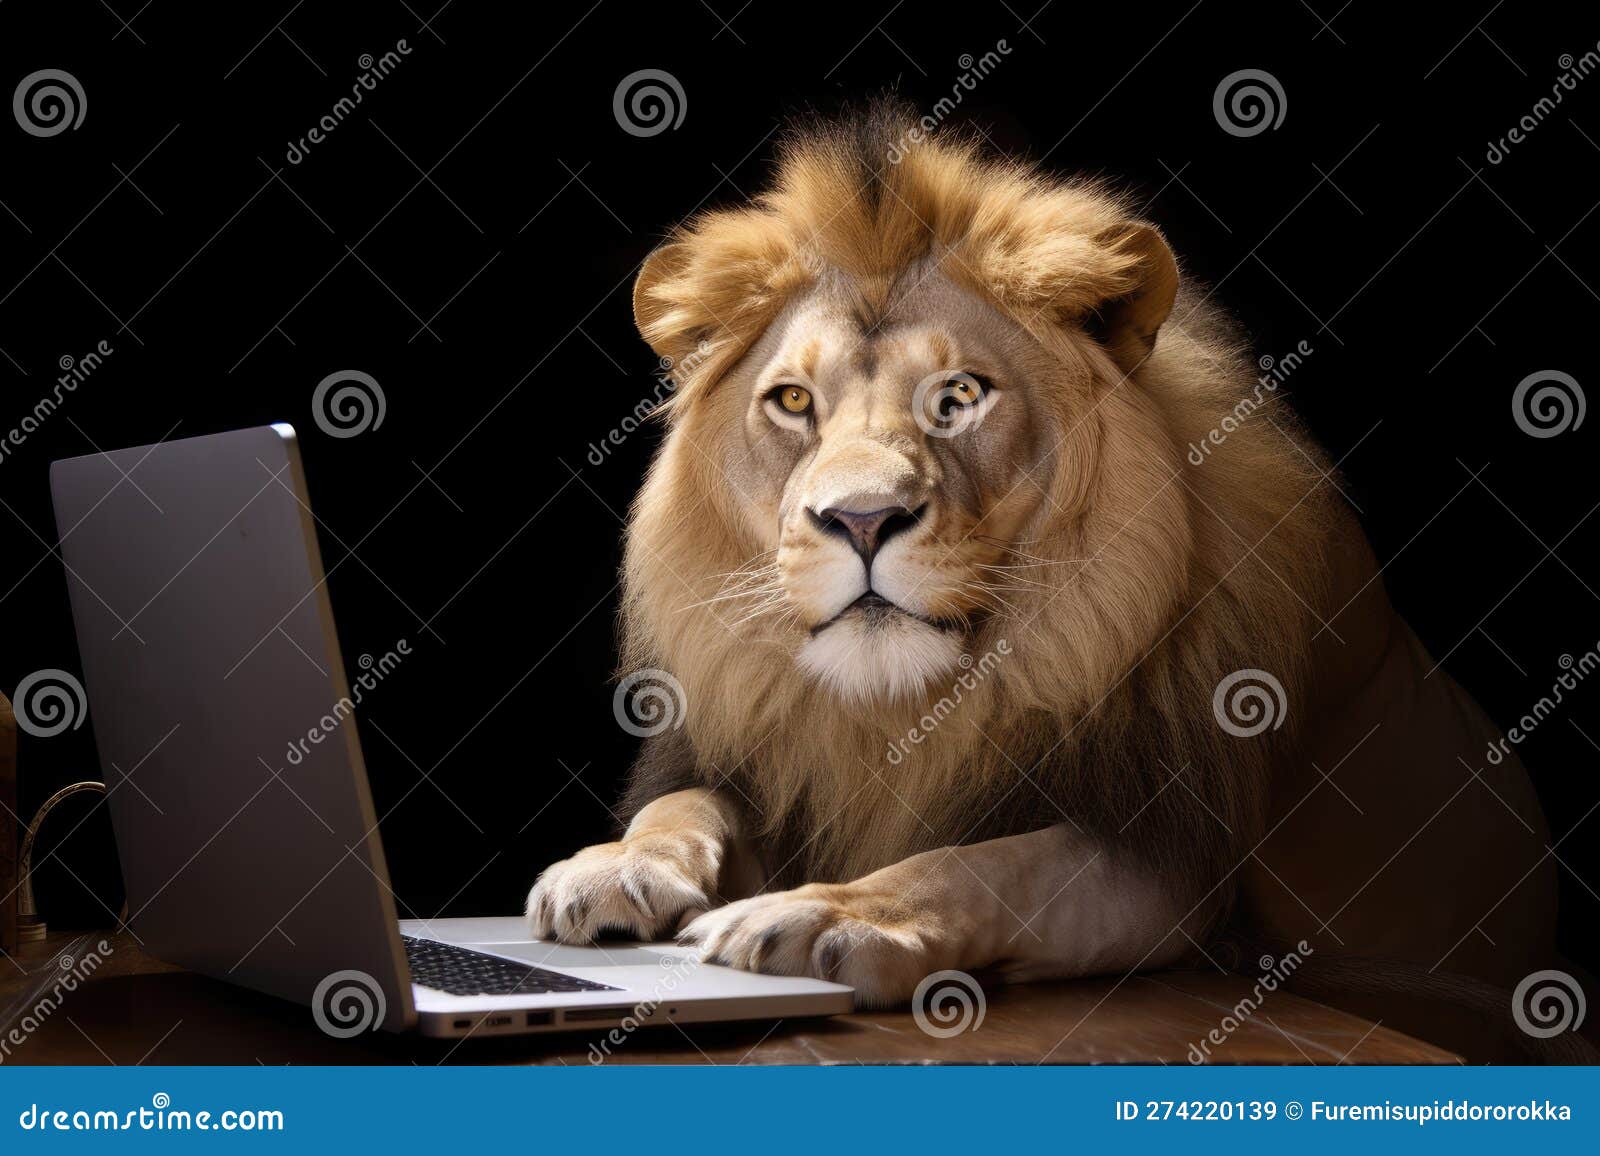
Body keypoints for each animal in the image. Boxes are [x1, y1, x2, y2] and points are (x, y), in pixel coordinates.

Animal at [526, 104, 1558, 1039]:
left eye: (958, 397)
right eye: (791, 402)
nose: (861, 518)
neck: (900, 712)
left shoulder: (1177, 865)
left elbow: (982, 865)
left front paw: (827, 913)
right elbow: (684, 800)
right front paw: (614, 866)